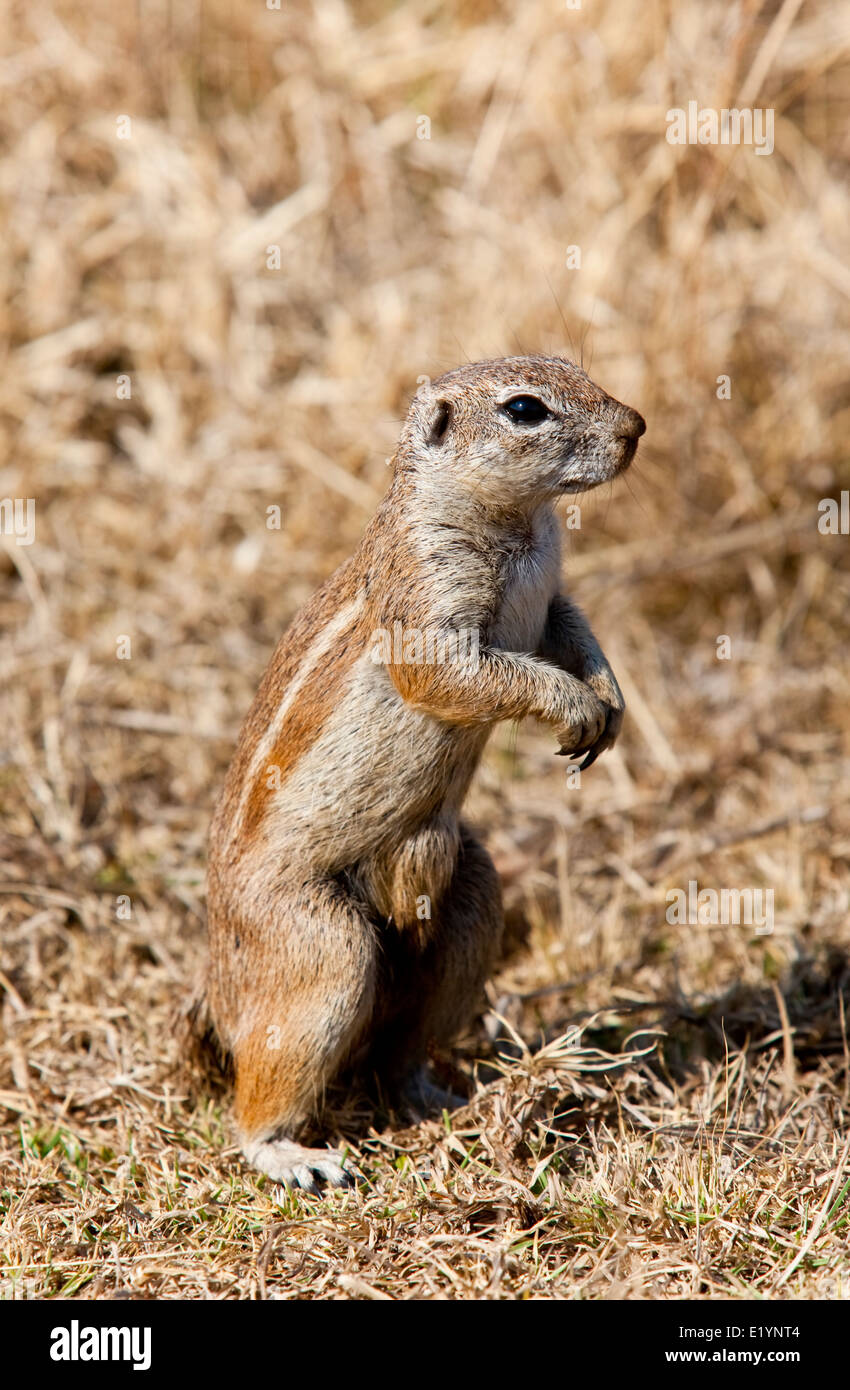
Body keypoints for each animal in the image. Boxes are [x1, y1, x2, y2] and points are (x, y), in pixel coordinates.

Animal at [198, 355, 645, 1192]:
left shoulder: (552, 597)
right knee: (261, 1084)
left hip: (471, 903)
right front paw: (573, 704)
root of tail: (219, 986)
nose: (637, 427)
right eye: (525, 409)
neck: (518, 524)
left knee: (398, 1048)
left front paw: (609, 700)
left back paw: (436, 1095)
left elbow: (573, 626)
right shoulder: (429, 604)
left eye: (575, 365)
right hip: (318, 949)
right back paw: (293, 1155)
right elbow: (467, 676)